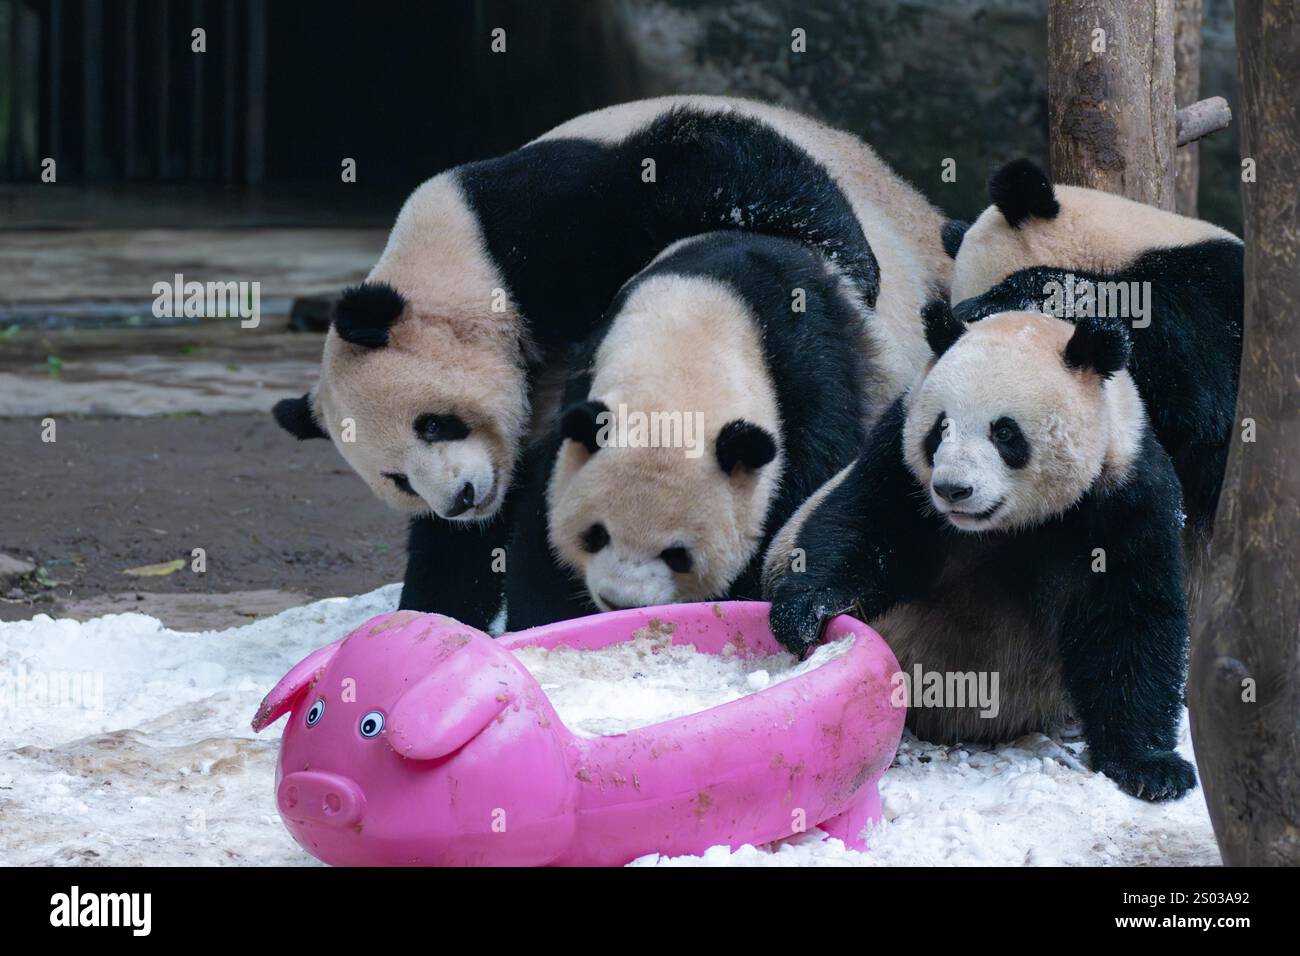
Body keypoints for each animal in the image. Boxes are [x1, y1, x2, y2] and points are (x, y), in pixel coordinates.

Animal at [765, 302, 1196, 802]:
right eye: (941, 428)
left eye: (1005, 432)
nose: (953, 489)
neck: (1005, 528)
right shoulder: (899, 460)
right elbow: (863, 528)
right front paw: (806, 611)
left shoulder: (1126, 492)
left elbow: (1132, 616)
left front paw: (1151, 768)